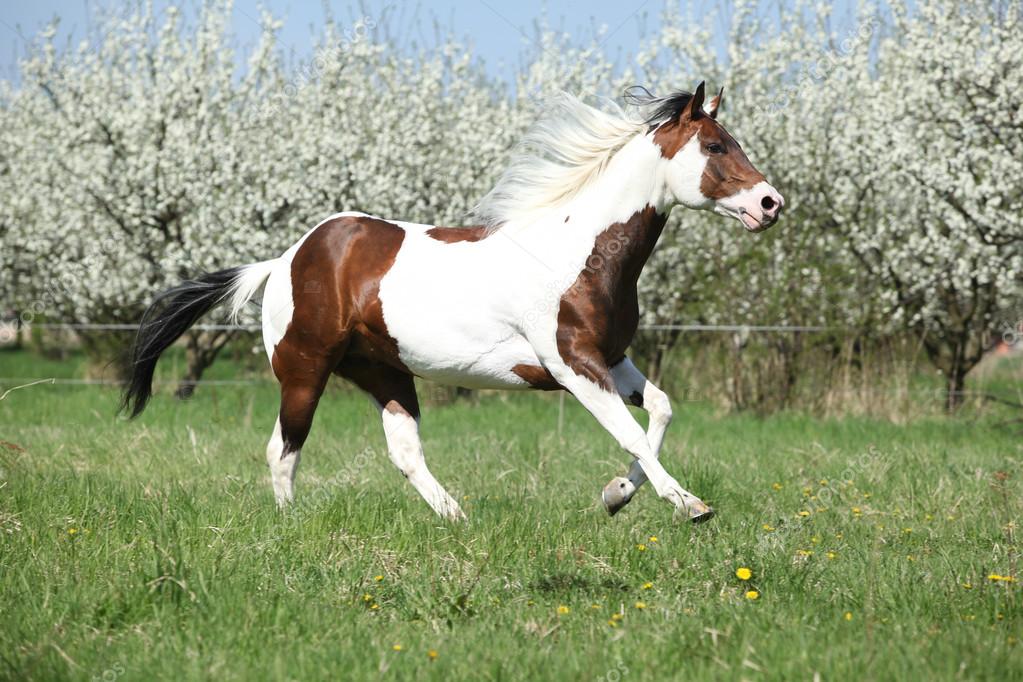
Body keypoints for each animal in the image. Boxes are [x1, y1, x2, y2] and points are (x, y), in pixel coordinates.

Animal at [121, 82, 784, 522]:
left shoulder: (611, 358)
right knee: (283, 448)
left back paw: (456, 518)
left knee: (404, 452)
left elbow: (661, 412)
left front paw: (616, 497)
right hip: (306, 370)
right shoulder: (573, 364)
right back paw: (293, 526)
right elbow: (631, 434)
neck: (577, 251)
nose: (771, 203)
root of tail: (284, 260)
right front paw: (690, 505)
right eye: (716, 146)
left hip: (384, 371)